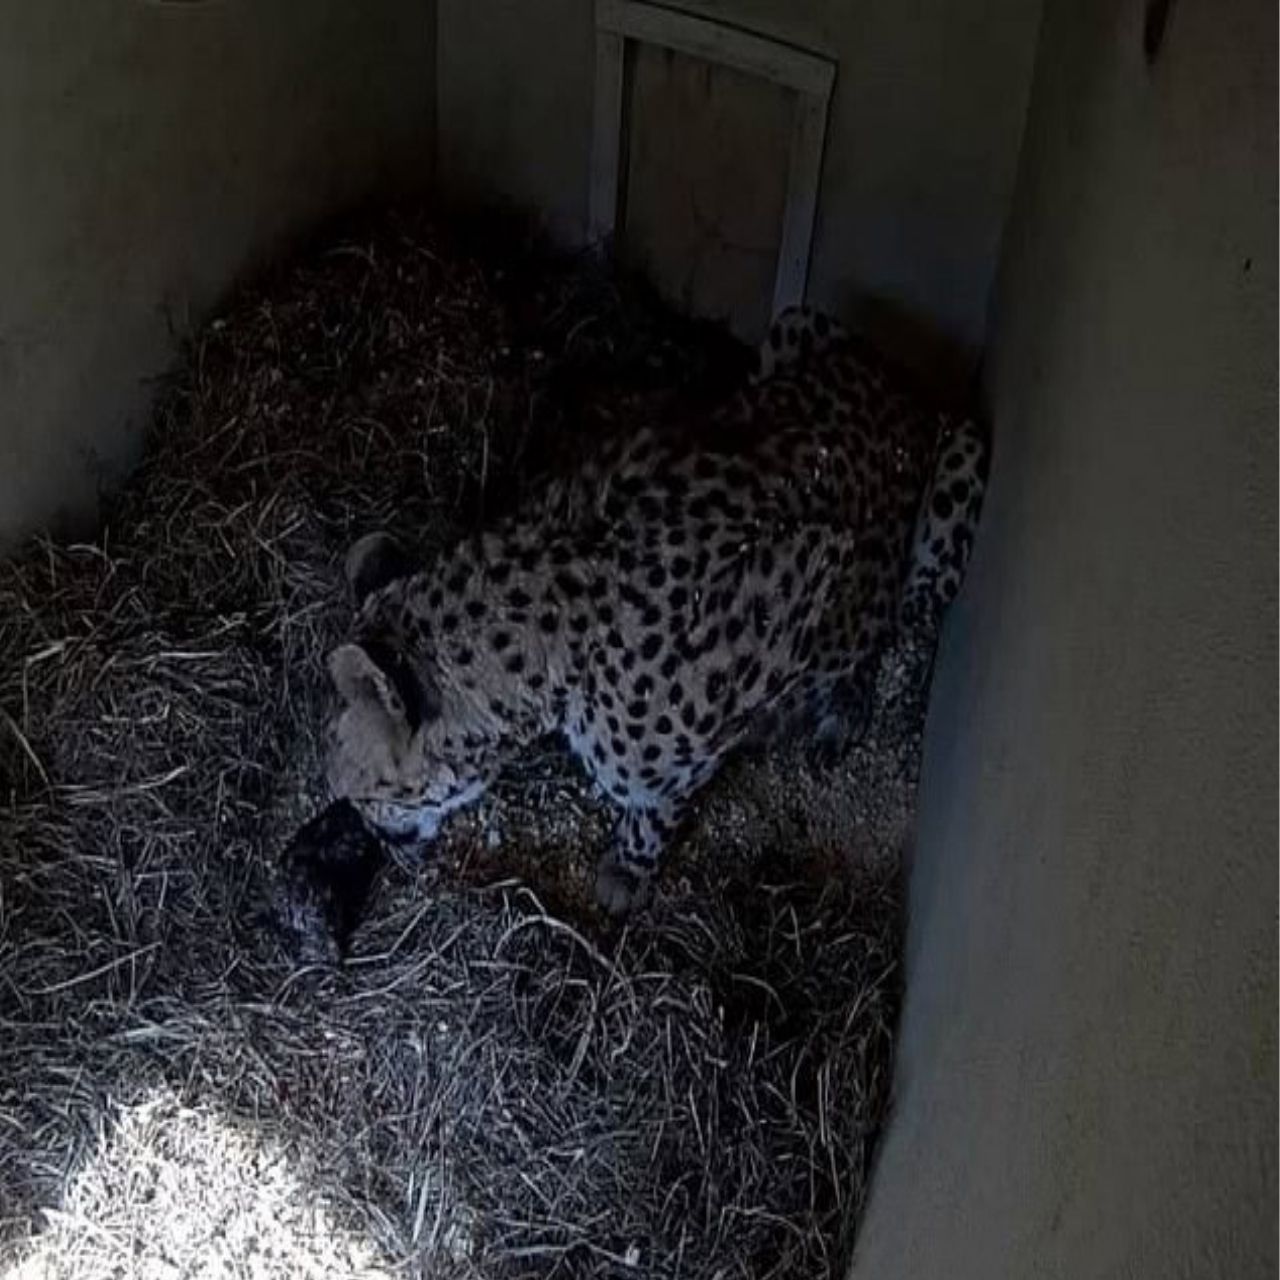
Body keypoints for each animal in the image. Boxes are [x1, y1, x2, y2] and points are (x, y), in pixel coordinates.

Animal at [322, 306, 989, 914]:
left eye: (367, 792)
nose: (371, 834)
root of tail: (906, 379)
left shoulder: (814, 565)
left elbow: (663, 790)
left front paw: (629, 866)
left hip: (962, 465)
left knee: (898, 626)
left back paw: (845, 708)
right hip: (797, 324)